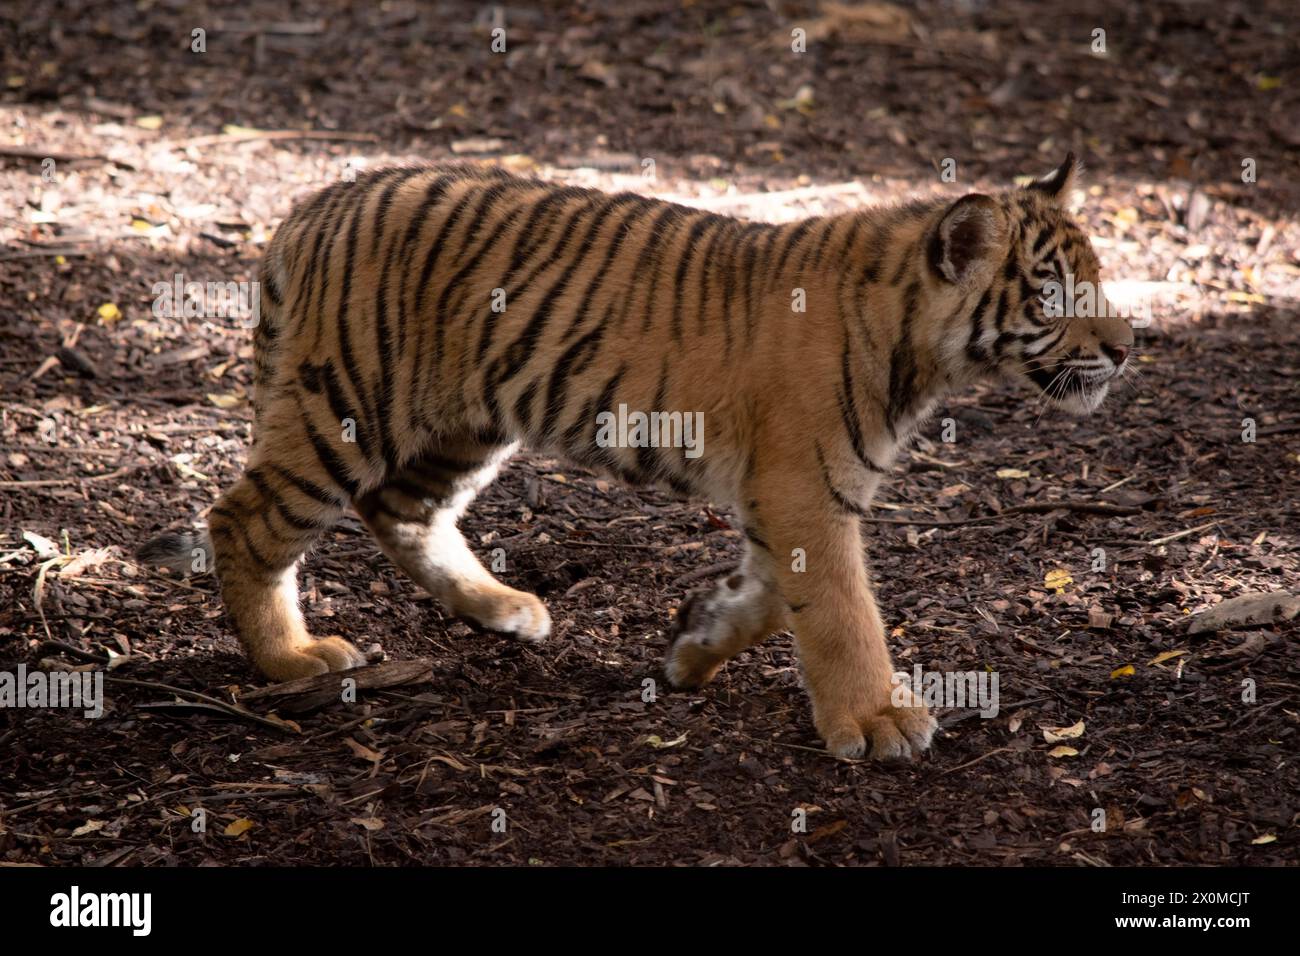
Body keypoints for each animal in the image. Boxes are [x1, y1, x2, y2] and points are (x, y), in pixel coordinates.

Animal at [138, 153, 1134, 760]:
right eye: (1055, 294)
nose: (1129, 348)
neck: (918, 346)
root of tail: (312, 205)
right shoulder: (805, 489)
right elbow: (843, 612)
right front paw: (877, 719)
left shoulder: (789, 495)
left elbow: (774, 598)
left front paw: (693, 647)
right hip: (341, 409)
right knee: (243, 521)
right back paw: (292, 659)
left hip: (463, 422)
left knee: (402, 510)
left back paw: (502, 608)